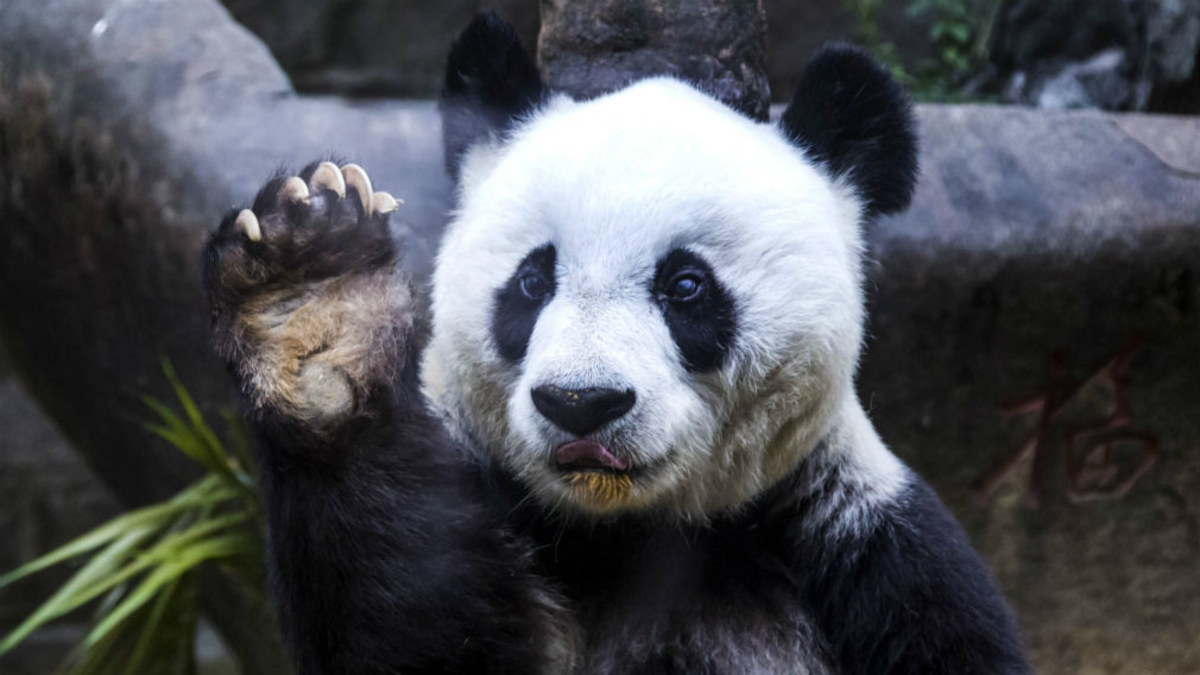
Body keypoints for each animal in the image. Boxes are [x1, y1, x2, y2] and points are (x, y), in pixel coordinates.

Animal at [203, 11, 1030, 675]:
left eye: (686, 286)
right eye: (533, 281)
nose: (582, 402)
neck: (622, 528)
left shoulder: (857, 544)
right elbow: (412, 620)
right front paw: (316, 293)